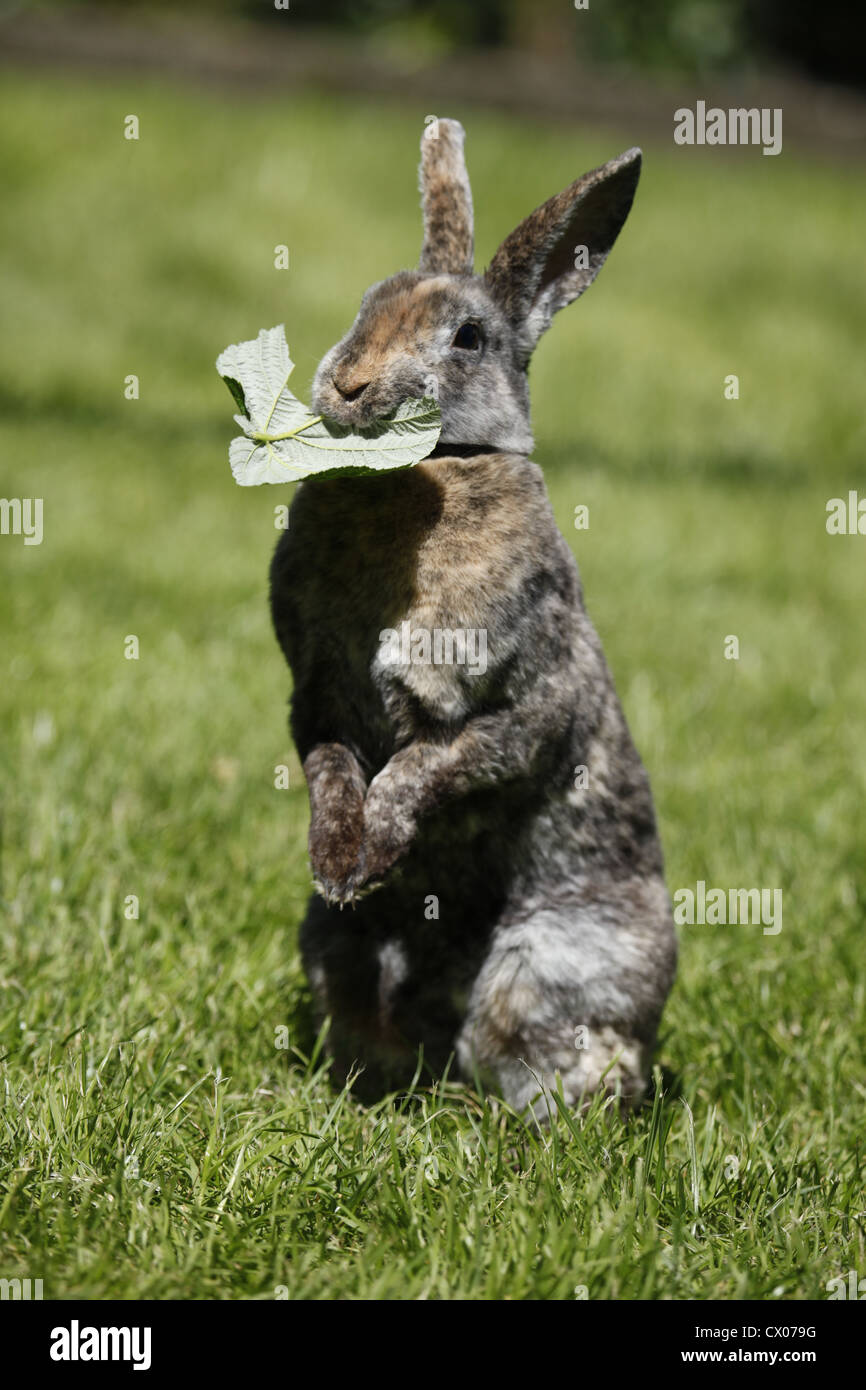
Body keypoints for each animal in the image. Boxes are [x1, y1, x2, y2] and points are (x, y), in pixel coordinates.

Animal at [269, 118, 676, 1116]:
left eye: (468, 336)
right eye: (367, 302)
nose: (348, 385)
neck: (428, 467)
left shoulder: (524, 707)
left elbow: (431, 764)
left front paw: (372, 847)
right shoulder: (316, 695)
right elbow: (331, 763)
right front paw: (341, 862)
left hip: (543, 969)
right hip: (335, 956)